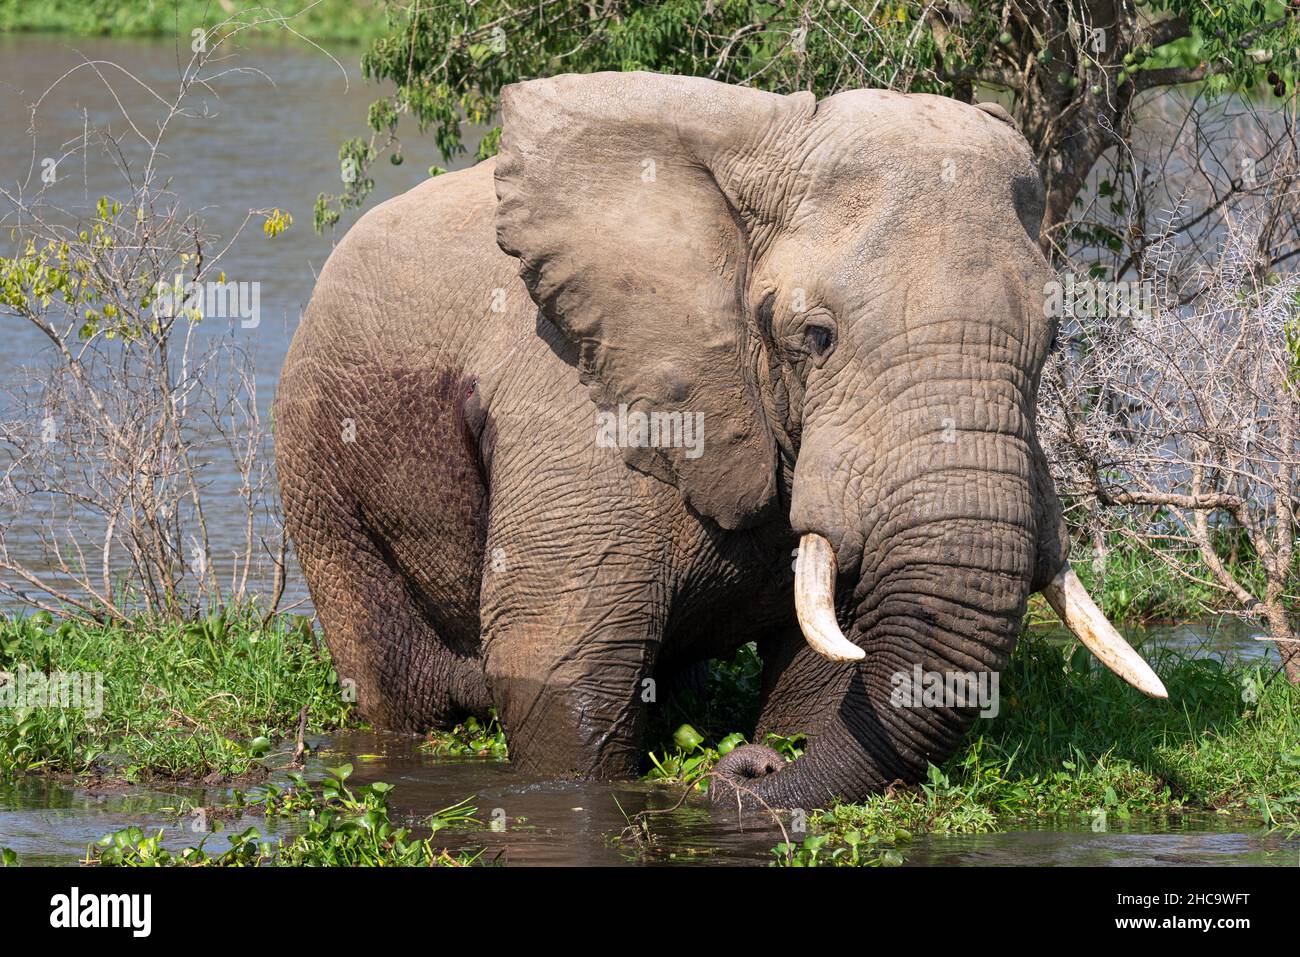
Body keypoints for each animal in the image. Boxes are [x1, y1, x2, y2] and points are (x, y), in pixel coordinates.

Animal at [274, 71, 1165, 810]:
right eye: (815, 337)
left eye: (1052, 340)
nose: (749, 768)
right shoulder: (574, 394)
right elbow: (562, 660)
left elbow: (824, 661)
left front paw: (786, 746)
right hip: (319, 466)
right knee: (396, 686)